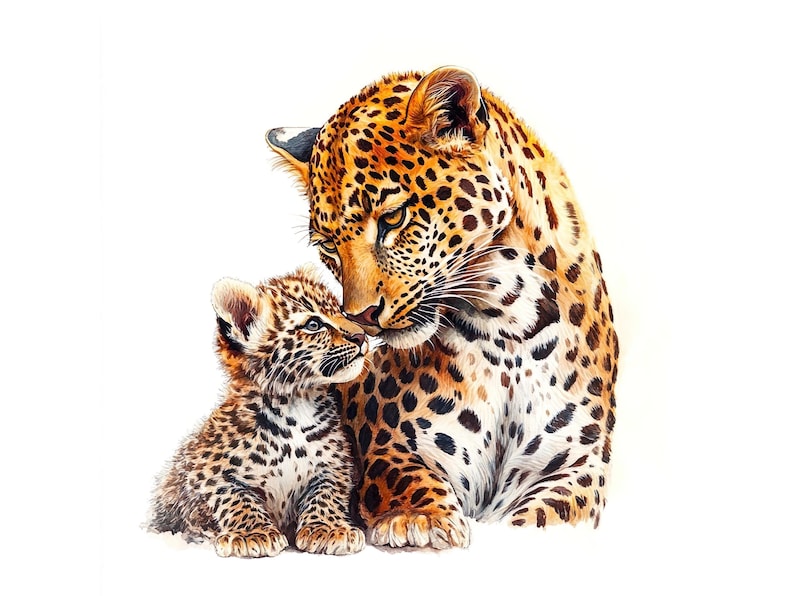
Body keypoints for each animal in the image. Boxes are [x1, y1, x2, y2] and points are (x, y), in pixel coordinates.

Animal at [147, 264, 367, 557]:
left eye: (340, 312)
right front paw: (253, 534)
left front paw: (329, 529)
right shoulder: (202, 471)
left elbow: (327, 491)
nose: (362, 336)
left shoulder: (335, 466)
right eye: (313, 324)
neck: (297, 405)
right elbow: (234, 495)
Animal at [266, 66, 619, 550]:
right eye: (329, 247)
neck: (509, 318)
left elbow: (547, 515)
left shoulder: (576, 464)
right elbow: (408, 478)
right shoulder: (392, 446)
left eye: (392, 219)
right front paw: (420, 519)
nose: (360, 317)